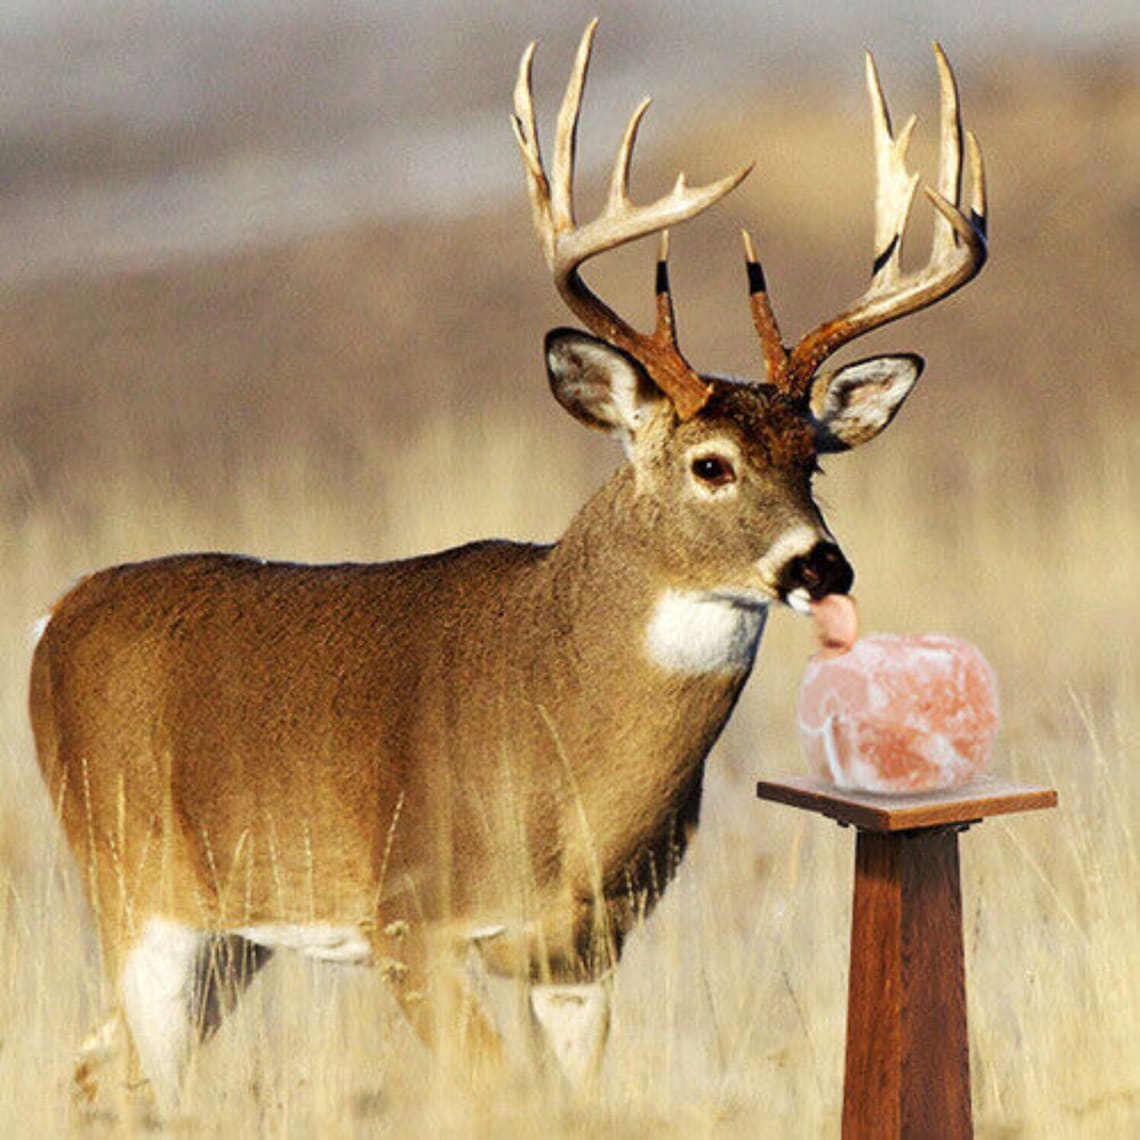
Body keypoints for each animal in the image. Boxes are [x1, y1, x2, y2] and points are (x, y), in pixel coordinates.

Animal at [29, 20, 986, 1114]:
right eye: (711, 463)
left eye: (815, 460)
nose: (822, 564)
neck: (556, 740)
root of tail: (55, 617)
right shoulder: (406, 915)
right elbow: (493, 1091)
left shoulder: (583, 953)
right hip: (136, 888)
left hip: (231, 933)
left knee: (92, 1067)